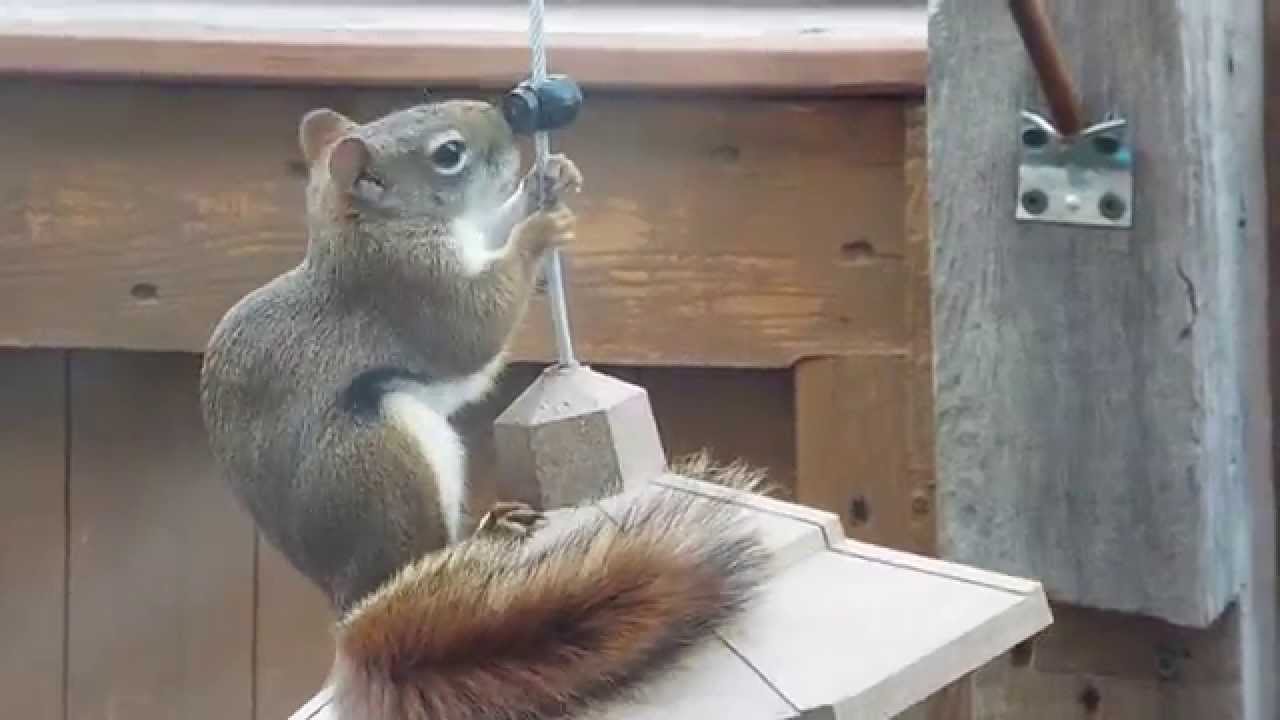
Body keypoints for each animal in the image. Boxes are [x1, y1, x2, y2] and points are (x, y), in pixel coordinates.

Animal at [199, 99, 772, 720]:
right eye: (449, 153)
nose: (507, 116)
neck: (373, 228)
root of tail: (351, 608)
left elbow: (489, 225)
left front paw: (545, 180)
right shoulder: (412, 287)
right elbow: (478, 327)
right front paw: (535, 232)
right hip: (383, 461)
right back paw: (486, 533)